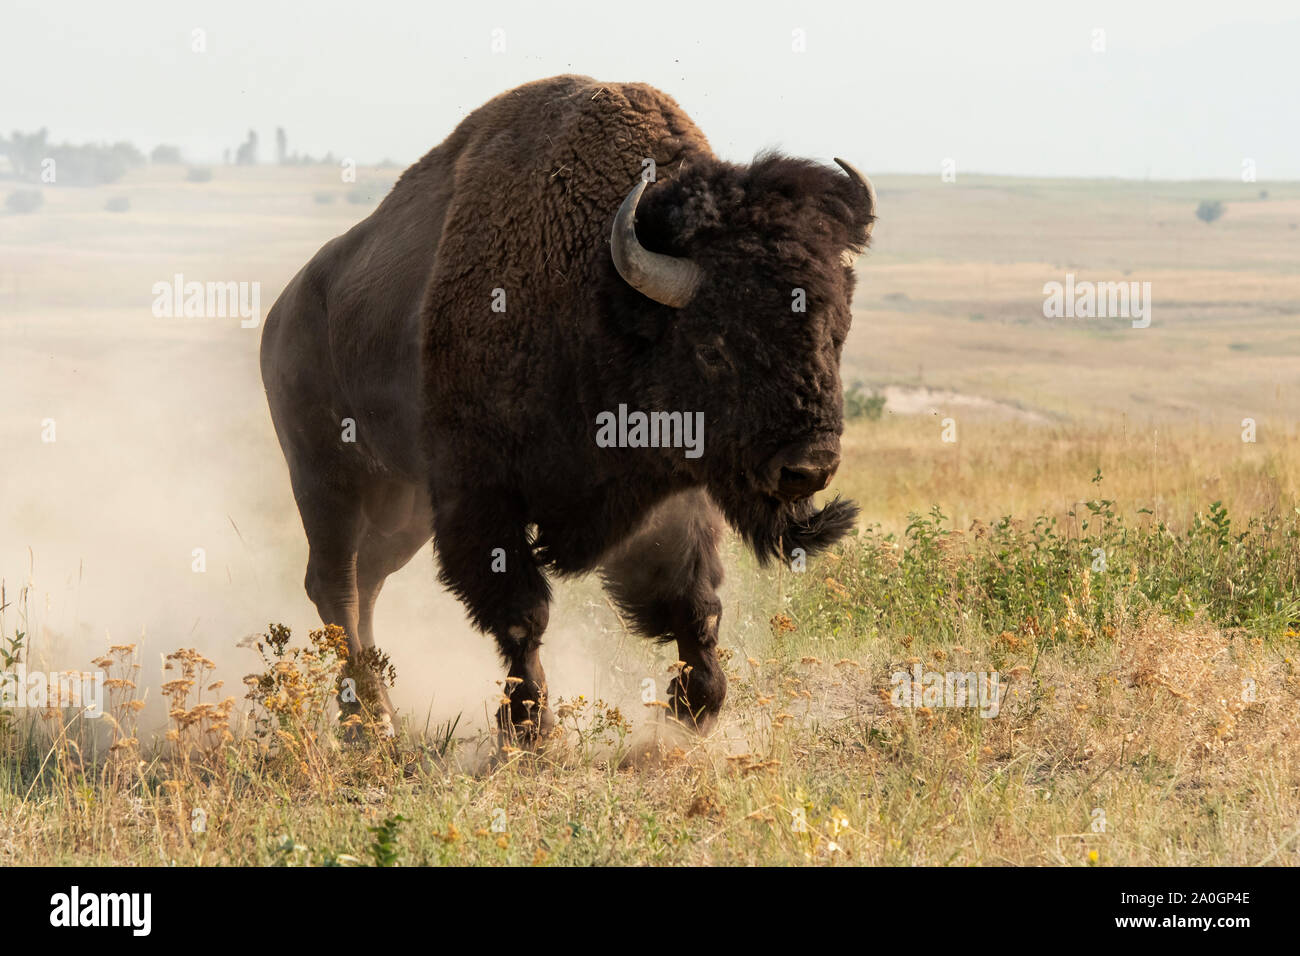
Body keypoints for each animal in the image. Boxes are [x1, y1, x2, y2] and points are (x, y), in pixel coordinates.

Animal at [260, 74, 875, 741]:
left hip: (405, 506)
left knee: (368, 578)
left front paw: (694, 708)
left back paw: (380, 710)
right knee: (336, 585)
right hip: (326, 479)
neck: (600, 296)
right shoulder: (481, 498)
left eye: (837, 333)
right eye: (715, 347)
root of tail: (283, 311)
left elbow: (695, 601)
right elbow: (523, 613)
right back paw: (368, 722)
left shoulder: (672, 493)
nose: (808, 467)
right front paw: (530, 728)